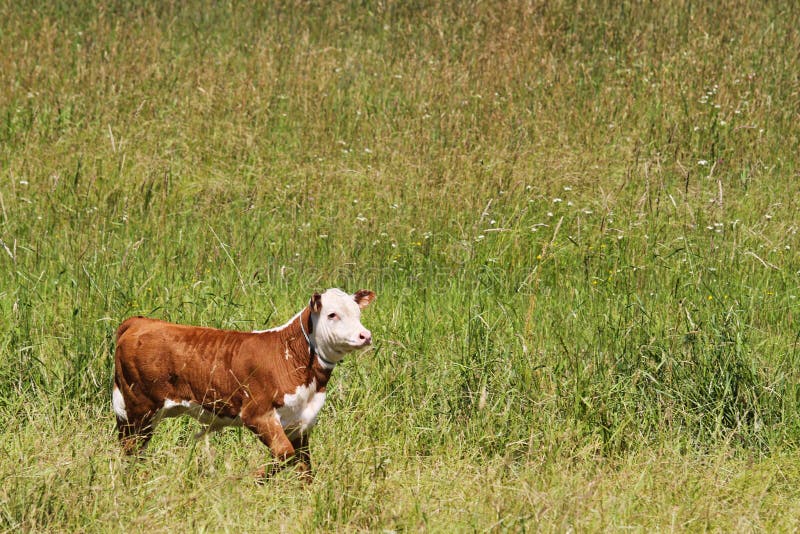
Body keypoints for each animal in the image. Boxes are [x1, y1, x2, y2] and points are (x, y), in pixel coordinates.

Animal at [112, 288, 376, 480]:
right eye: (332, 314)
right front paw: (248, 479)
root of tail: (140, 322)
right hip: (140, 408)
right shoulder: (258, 414)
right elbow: (285, 454)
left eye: (358, 314)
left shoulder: (301, 422)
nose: (365, 335)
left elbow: (304, 467)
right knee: (130, 450)